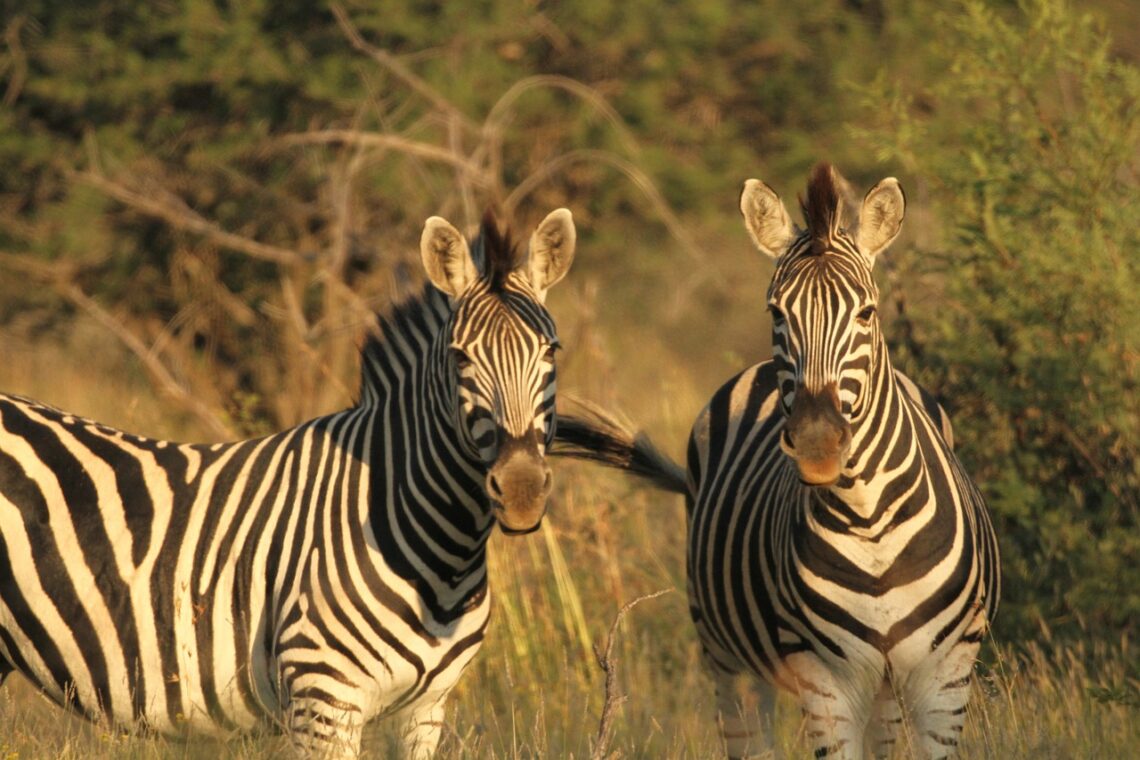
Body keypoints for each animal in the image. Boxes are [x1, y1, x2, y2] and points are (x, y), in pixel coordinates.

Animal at [554, 164, 1000, 759]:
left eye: (867, 313)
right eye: (776, 312)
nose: (816, 442)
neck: (870, 523)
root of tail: (757, 368)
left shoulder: (945, 673)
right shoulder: (824, 677)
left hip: (882, 683)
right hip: (728, 658)